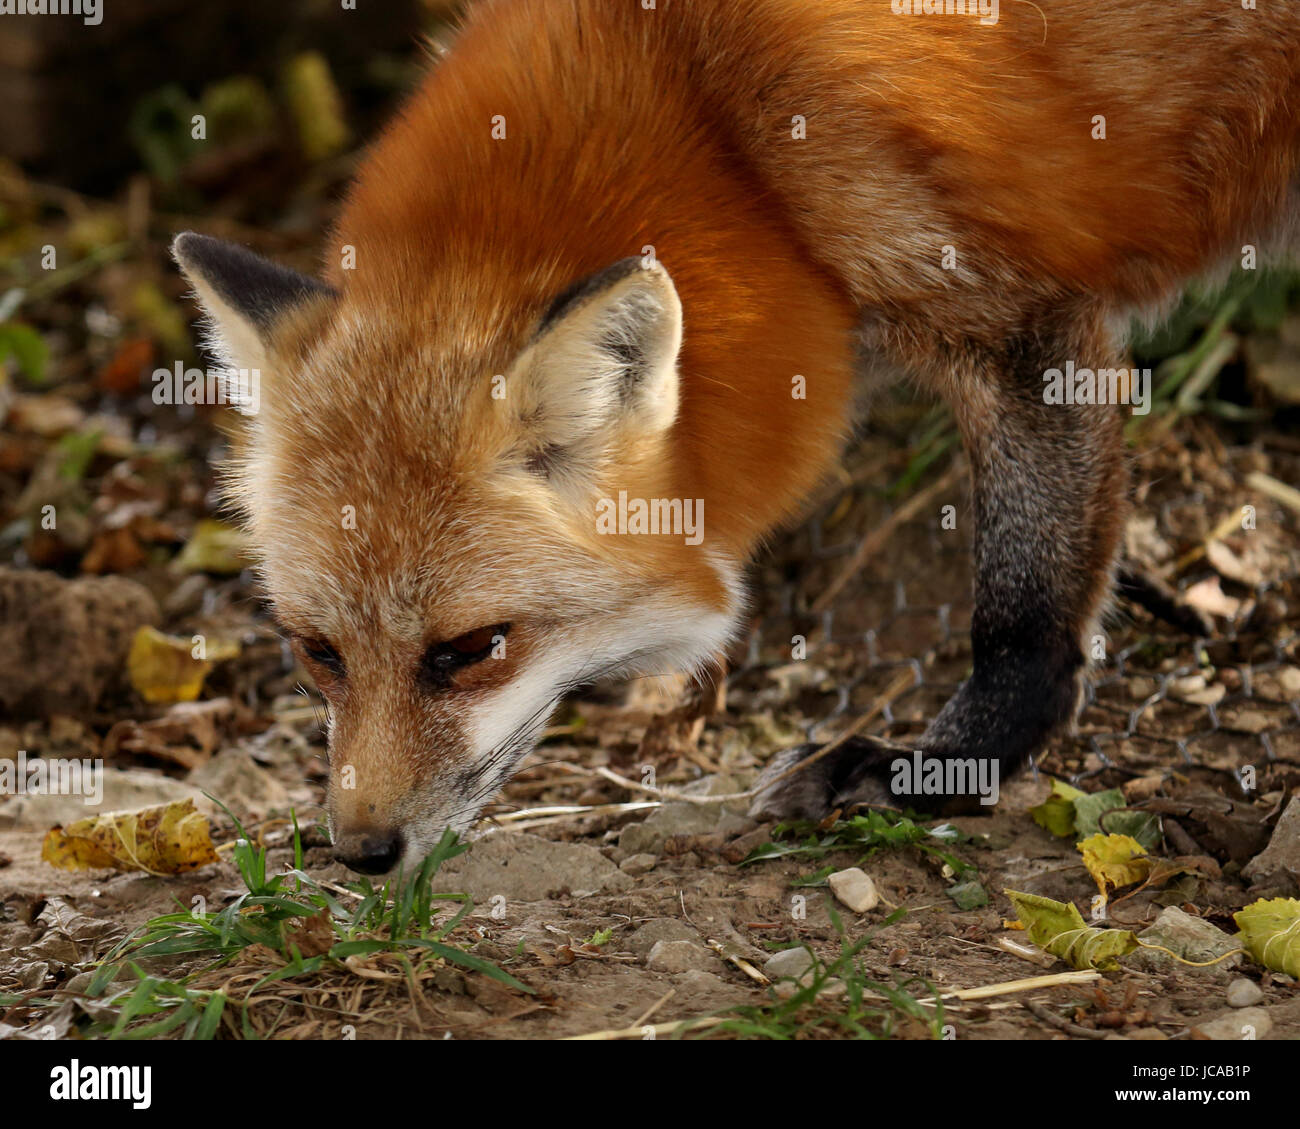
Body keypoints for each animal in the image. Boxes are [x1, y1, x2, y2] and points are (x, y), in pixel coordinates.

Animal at [172, 0, 1300, 875]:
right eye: (317, 651)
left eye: (470, 650)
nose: (362, 854)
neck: (714, 114)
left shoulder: (1020, 320)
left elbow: (1022, 605)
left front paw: (939, 773)